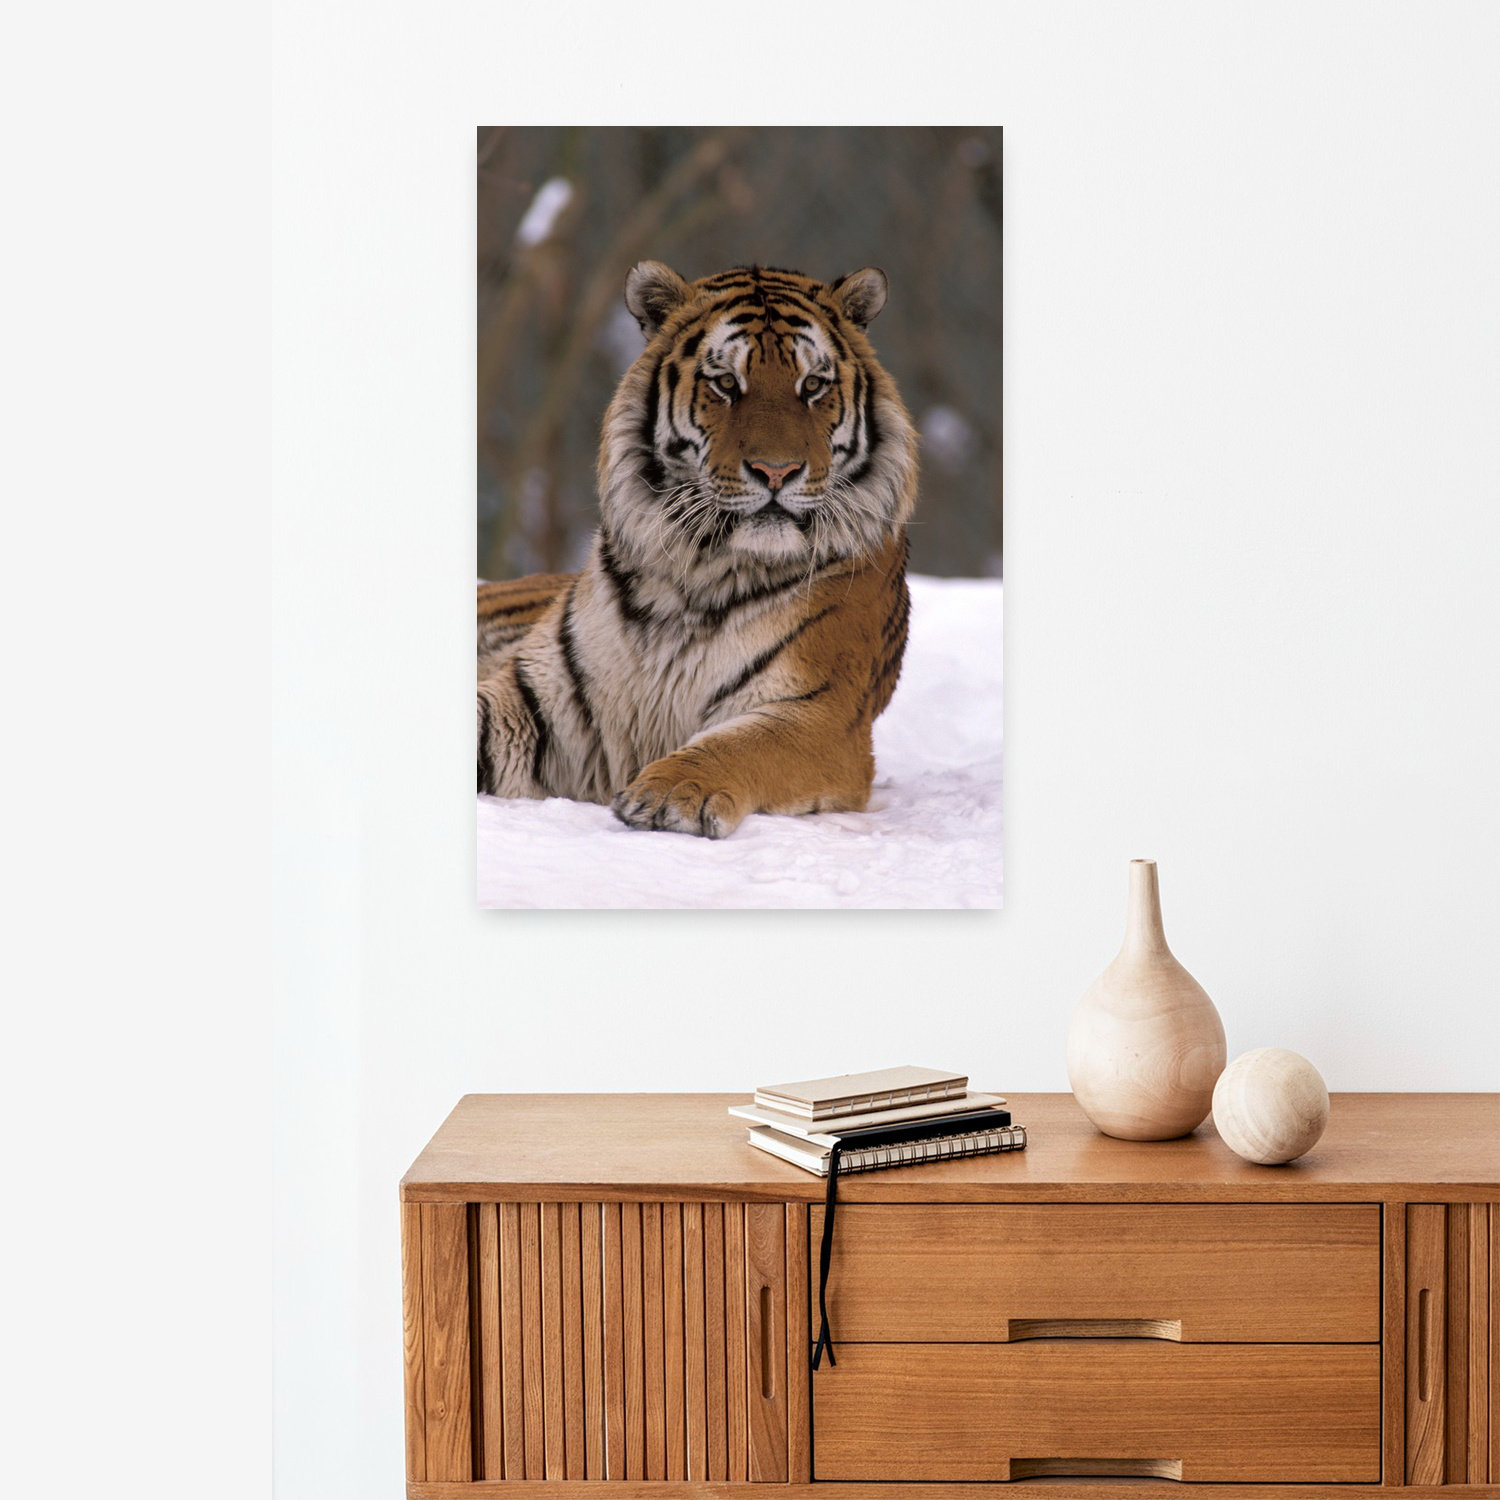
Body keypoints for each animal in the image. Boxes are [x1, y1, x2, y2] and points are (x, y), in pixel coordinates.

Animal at [477, 260, 918, 839]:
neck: (697, 569)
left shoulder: (819, 712)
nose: (776, 471)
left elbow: (744, 744)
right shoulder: (540, 701)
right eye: (727, 383)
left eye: (813, 385)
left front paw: (672, 792)